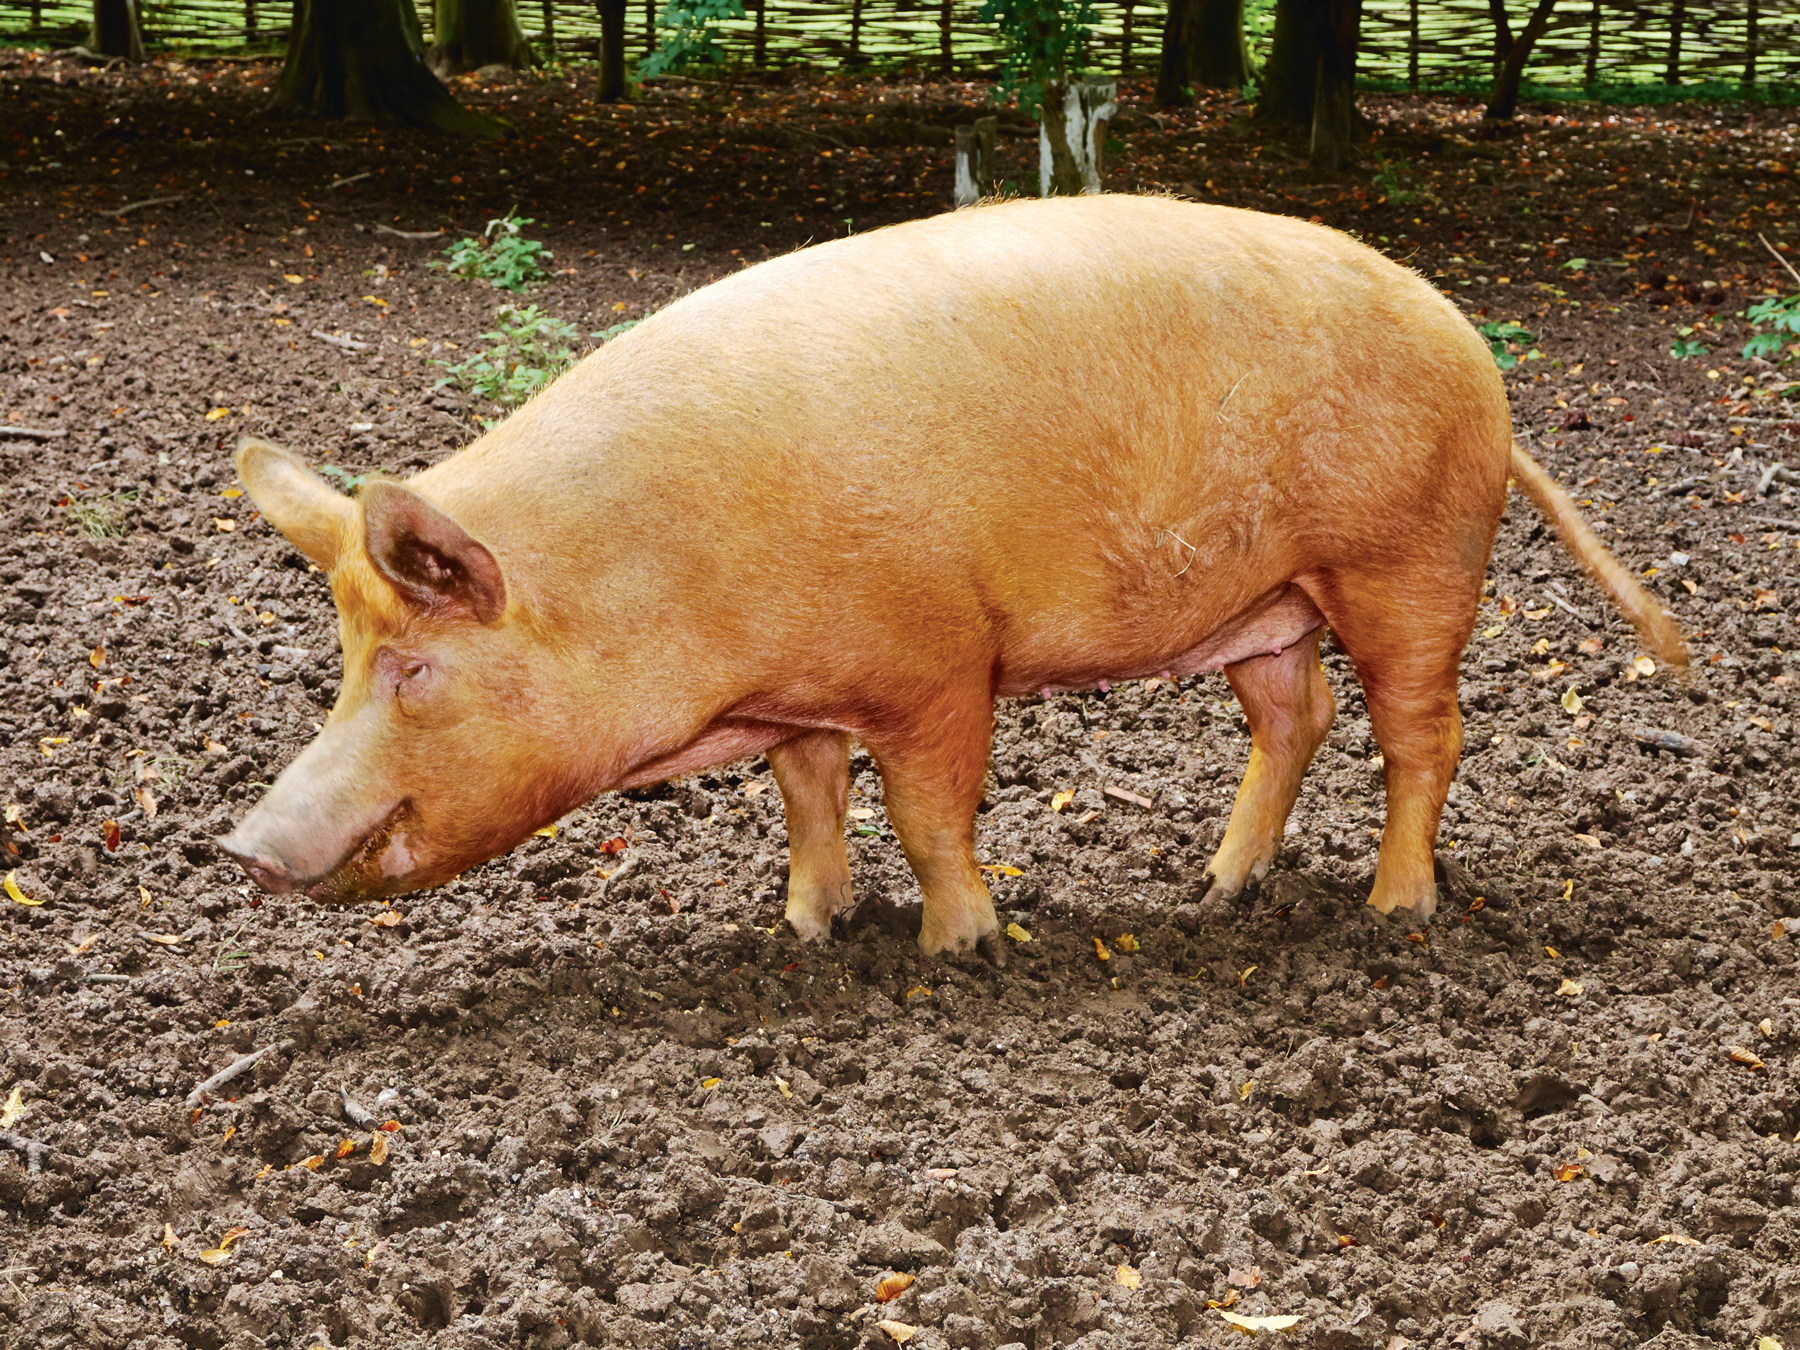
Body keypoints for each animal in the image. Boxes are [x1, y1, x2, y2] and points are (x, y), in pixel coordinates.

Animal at [219, 195, 1685, 955]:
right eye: (347, 661)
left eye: (415, 666)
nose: (240, 845)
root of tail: (1477, 357)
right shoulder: (800, 697)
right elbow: (809, 799)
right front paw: (805, 931)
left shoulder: (935, 664)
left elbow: (929, 815)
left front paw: (962, 948)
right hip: (1271, 603)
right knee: (1300, 714)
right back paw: (1213, 891)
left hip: (1406, 559)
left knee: (1422, 732)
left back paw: (1391, 913)